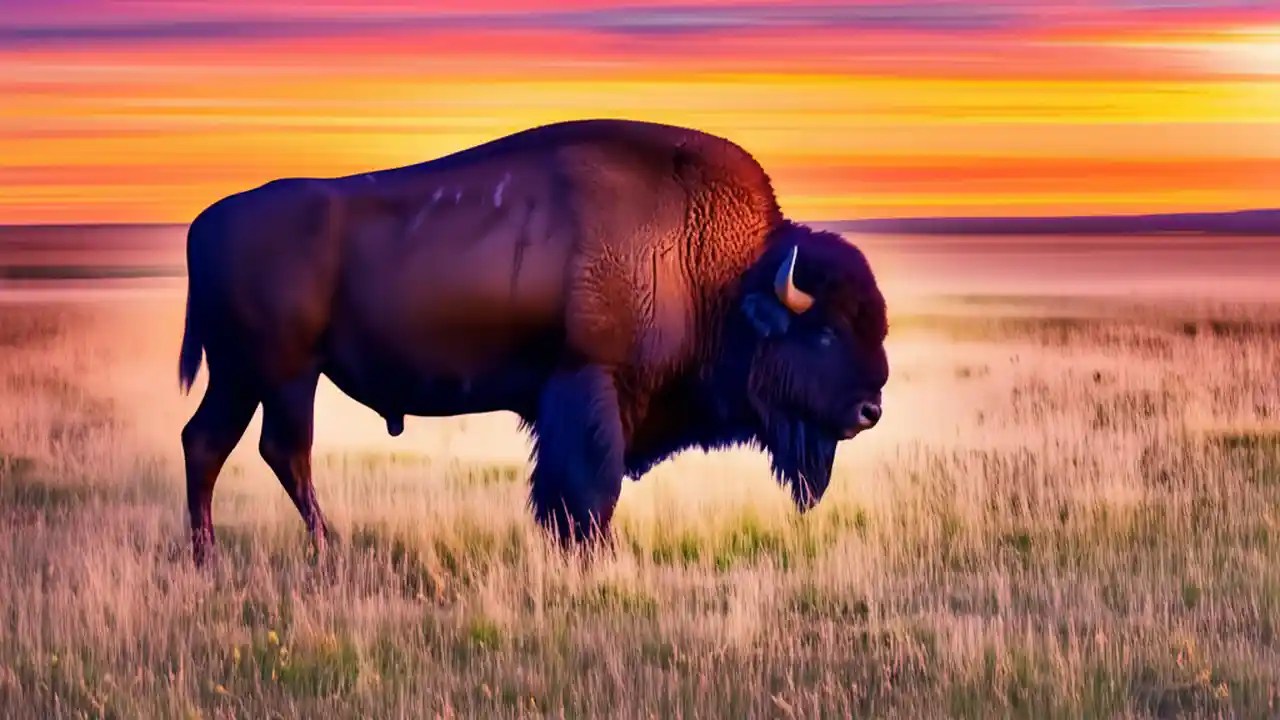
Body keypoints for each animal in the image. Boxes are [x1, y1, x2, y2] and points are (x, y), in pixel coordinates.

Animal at [177, 118, 888, 563]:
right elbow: (590, 486)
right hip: (285, 376)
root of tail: (204, 222)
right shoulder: (590, 382)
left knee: (206, 442)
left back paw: (207, 558)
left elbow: (562, 489)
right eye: (825, 333)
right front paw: (598, 555)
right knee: (284, 451)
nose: (870, 410)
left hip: (241, 378)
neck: (712, 268)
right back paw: (326, 549)